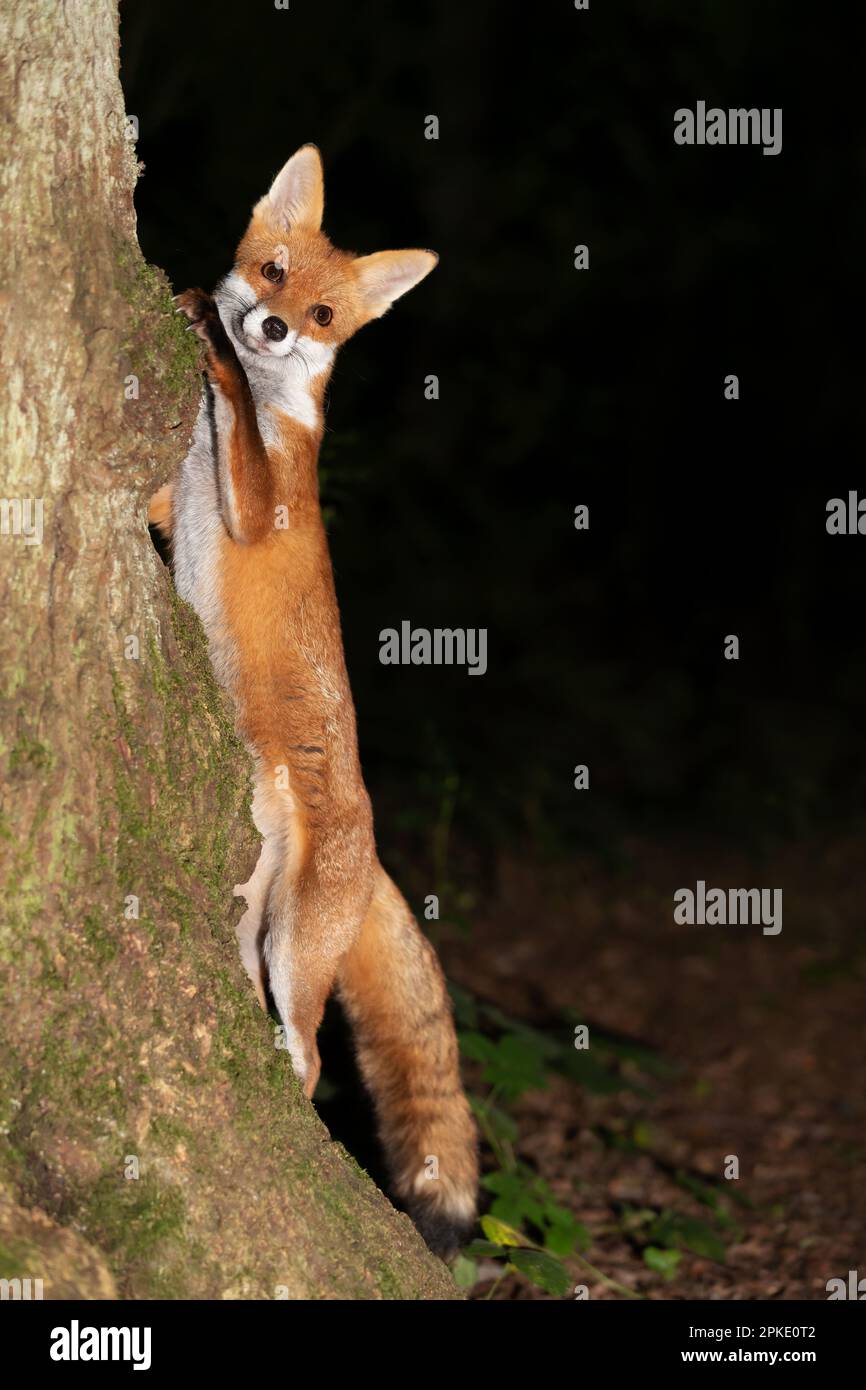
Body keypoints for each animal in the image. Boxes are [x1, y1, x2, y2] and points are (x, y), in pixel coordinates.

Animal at [148, 145, 478, 1257]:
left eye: (325, 313)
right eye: (275, 271)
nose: (274, 328)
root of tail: (370, 847)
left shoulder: (263, 498)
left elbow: (244, 434)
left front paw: (209, 342)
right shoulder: (170, 498)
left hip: (297, 949)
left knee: (315, 1061)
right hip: (255, 921)